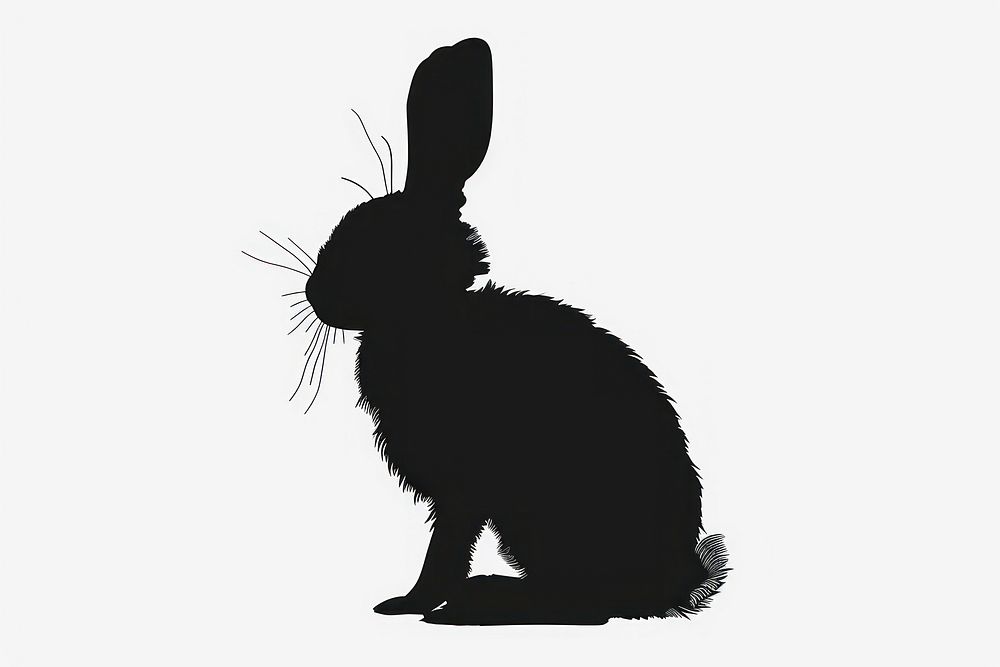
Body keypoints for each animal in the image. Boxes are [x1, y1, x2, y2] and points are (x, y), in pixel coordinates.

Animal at [298, 37, 727, 625]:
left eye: (377, 248)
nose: (313, 294)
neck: (429, 318)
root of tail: (679, 582)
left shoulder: (463, 486)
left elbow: (446, 547)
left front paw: (410, 603)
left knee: (587, 604)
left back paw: (480, 601)